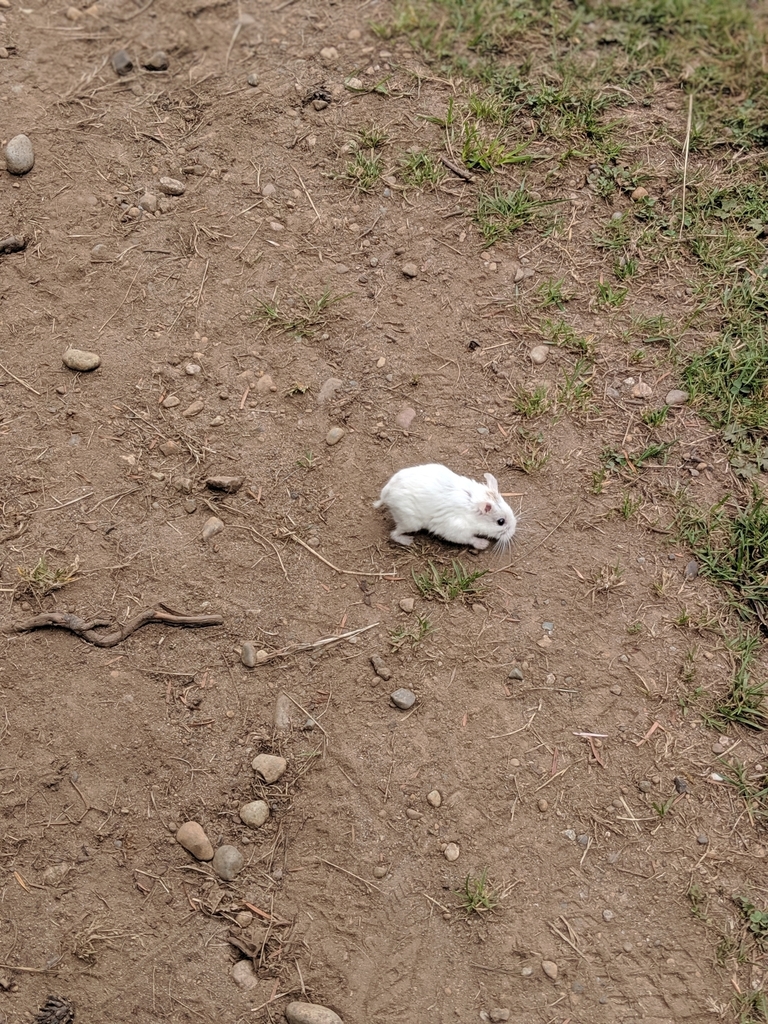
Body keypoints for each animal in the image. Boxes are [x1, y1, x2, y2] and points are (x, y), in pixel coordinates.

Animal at [373, 463, 517, 550]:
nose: (512, 533)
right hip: (410, 522)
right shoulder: (456, 530)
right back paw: (407, 540)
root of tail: (386, 493)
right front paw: (483, 544)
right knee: (393, 534)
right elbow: (470, 539)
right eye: (501, 522)